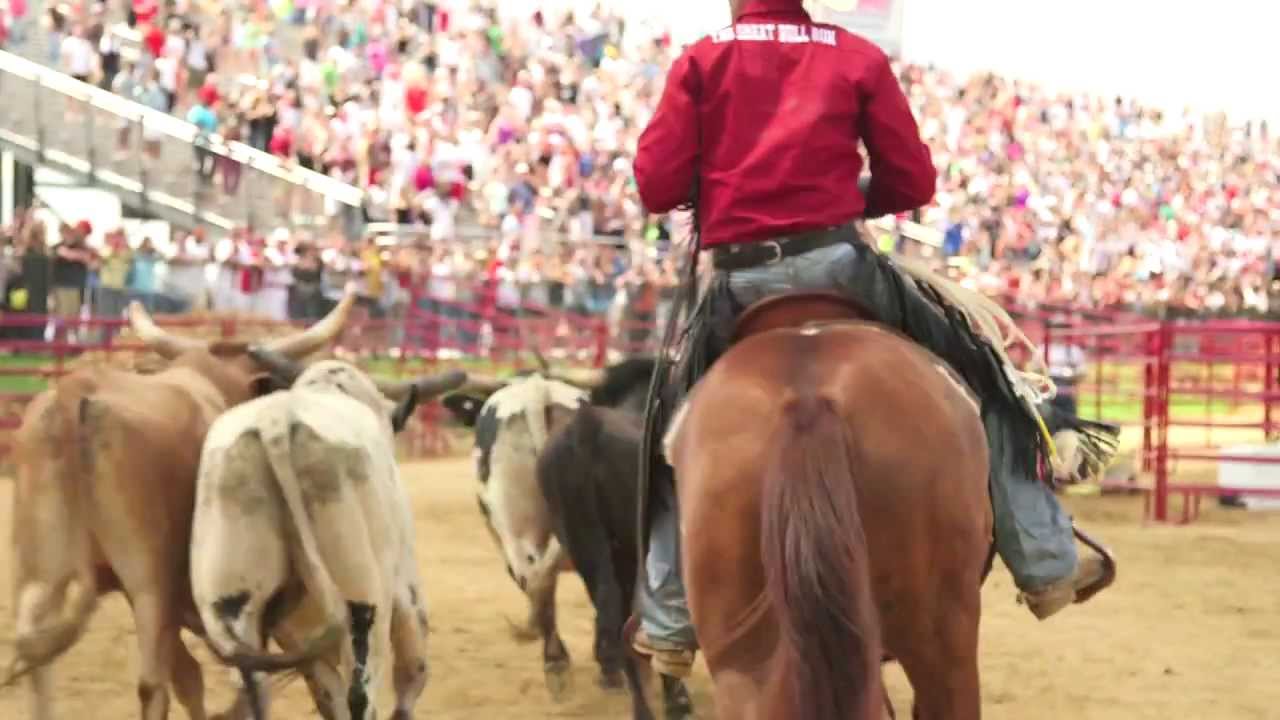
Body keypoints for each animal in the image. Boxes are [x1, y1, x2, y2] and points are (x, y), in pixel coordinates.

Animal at [189, 350, 466, 720]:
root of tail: (276, 422)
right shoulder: (408, 595)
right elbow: (411, 677)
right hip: (363, 606)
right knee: (360, 695)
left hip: (230, 610)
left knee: (254, 687)